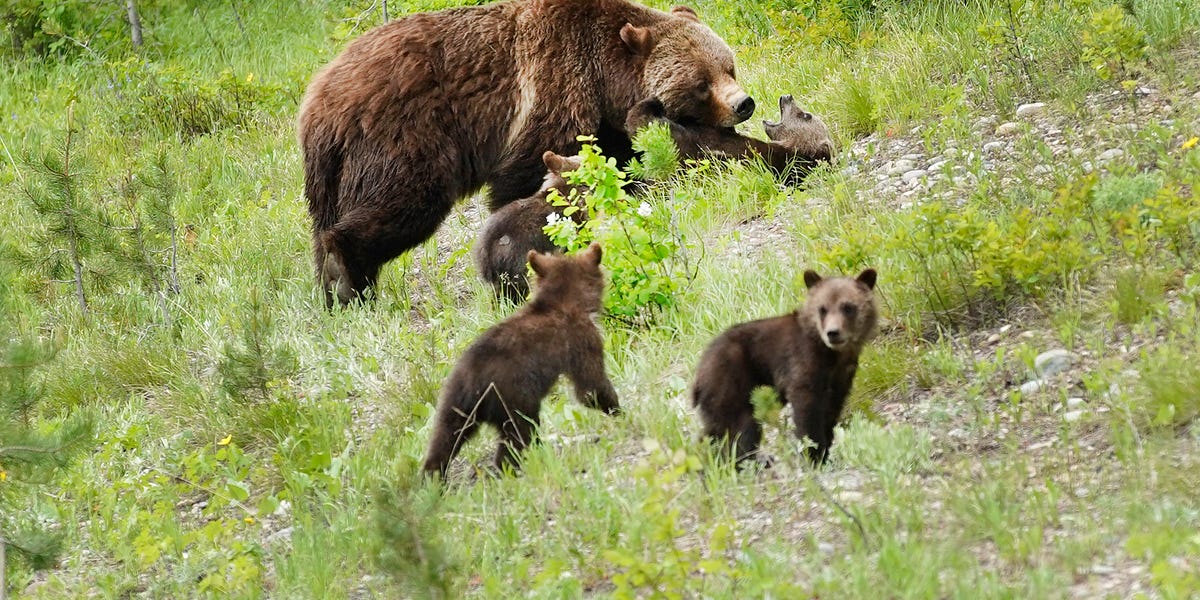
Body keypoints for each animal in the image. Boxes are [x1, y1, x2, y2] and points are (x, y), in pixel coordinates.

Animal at [423, 242, 620, 478]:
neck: (563, 302)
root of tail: (473, 383)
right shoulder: (582, 341)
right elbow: (591, 387)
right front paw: (618, 410)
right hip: (513, 399)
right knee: (518, 434)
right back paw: (511, 468)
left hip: (453, 402)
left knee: (444, 439)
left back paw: (433, 478)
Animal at [691, 268, 878, 467]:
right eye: (822, 309)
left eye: (848, 307)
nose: (833, 333)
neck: (833, 354)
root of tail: (699, 370)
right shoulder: (802, 362)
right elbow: (807, 409)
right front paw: (814, 454)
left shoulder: (842, 376)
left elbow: (832, 409)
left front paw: (826, 450)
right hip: (730, 383)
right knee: (740, 426)